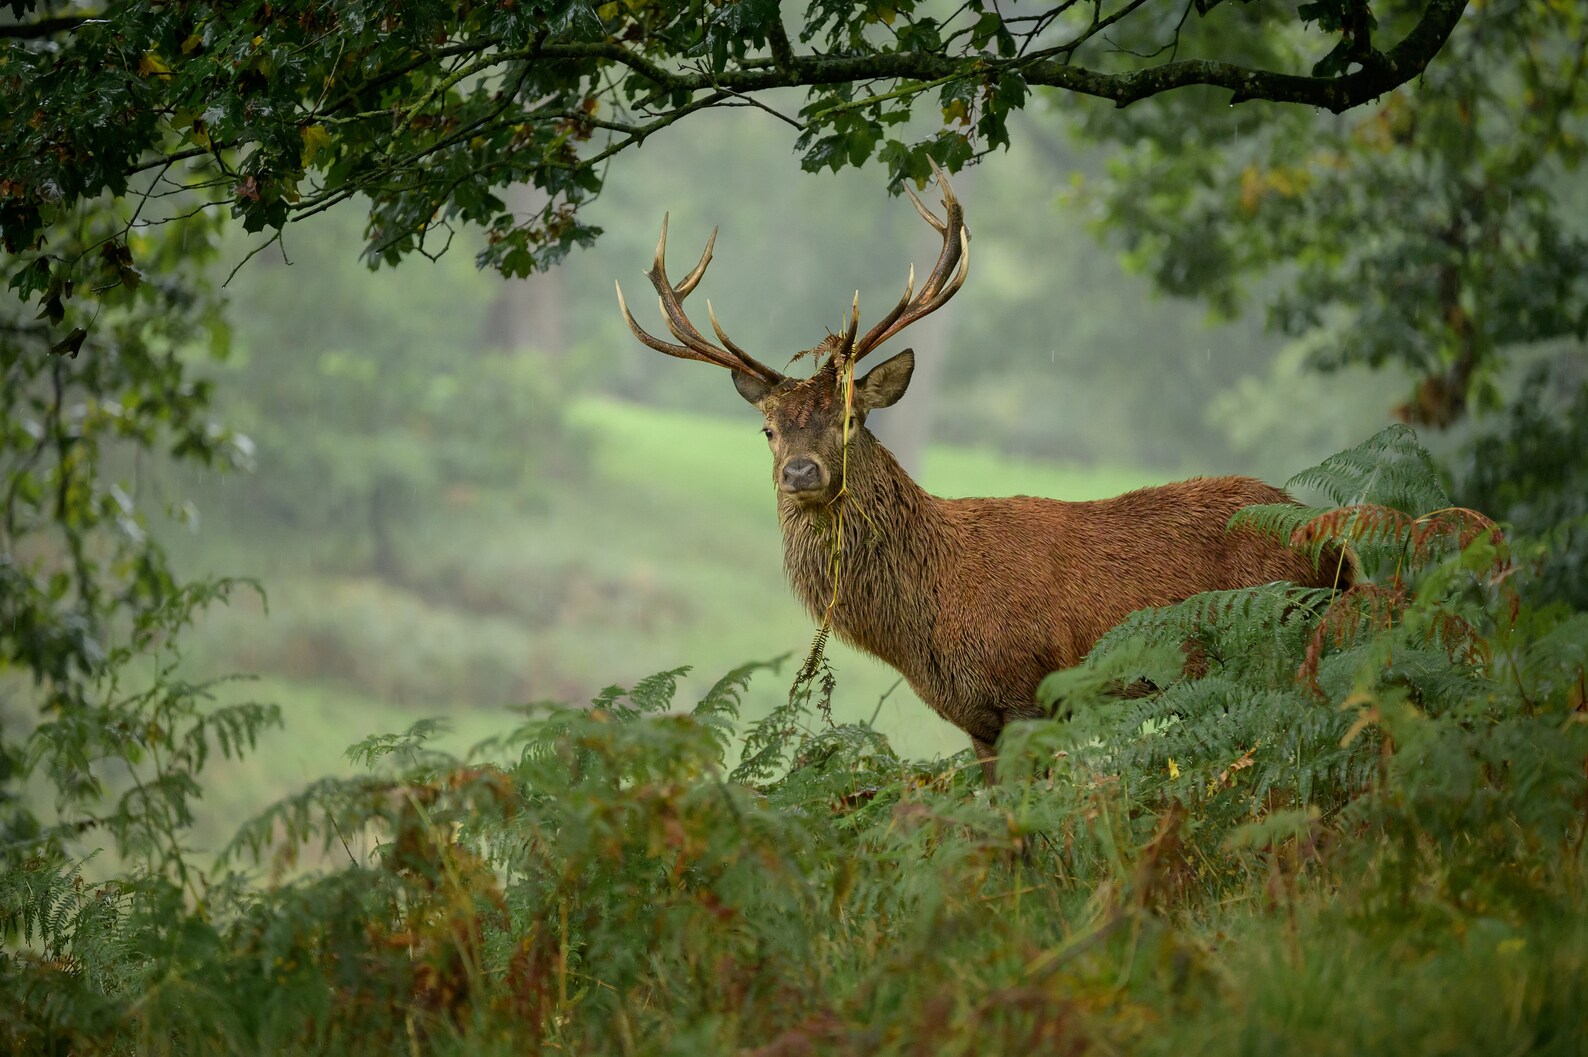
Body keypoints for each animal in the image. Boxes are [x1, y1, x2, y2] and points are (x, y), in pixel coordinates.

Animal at [615, 165, 1355, 783]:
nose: (801, 470)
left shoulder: (1032, 691)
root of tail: (1335, 547)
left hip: (1278, 645)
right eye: (768, 429)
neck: (927, 619)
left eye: (851, 417)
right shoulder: (977, 722)